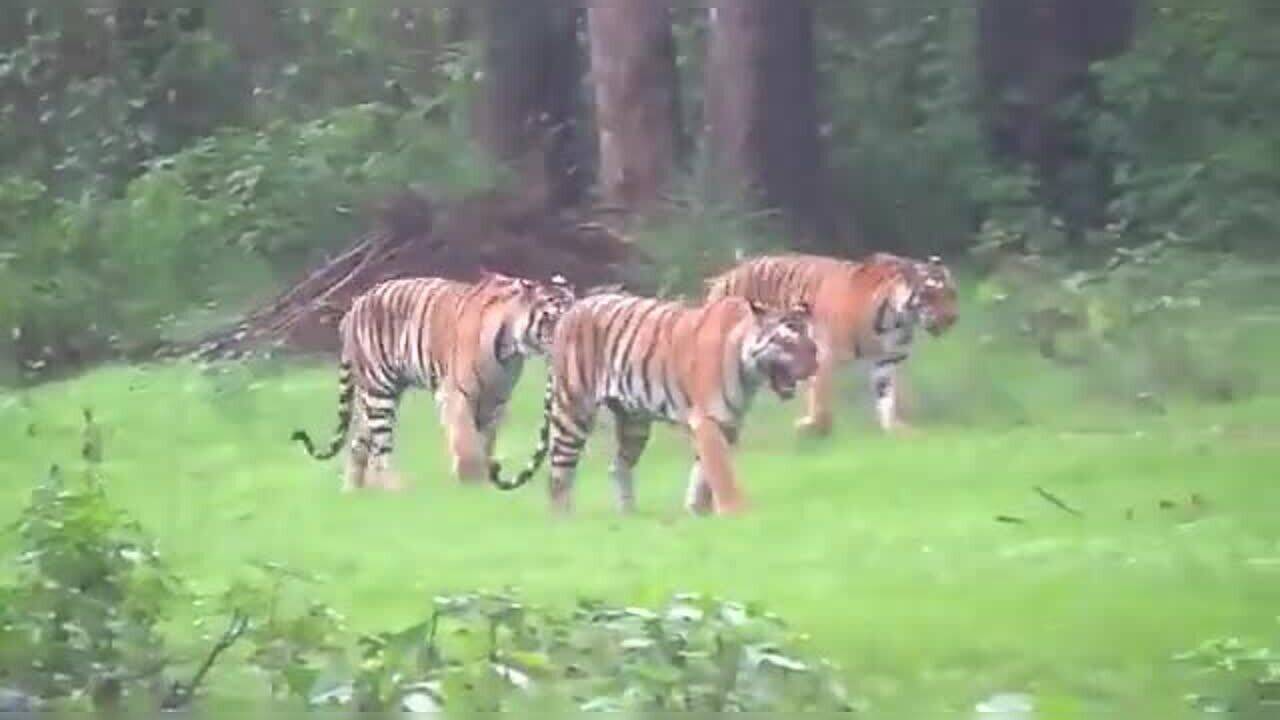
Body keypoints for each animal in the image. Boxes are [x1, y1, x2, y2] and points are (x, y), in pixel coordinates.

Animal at [291, 271, 575, 492]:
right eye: (551, 317)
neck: (510, 351)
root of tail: (353, 308)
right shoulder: (456, 395)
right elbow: (466, 442)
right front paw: (471, 486)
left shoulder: (494, 401)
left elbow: (485, 442)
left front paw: (485, 482)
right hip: (380, 391)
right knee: (380, 448)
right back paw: (394, 488)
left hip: (368, 394)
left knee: (358, 442)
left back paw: (354, 491)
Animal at [486, 292, 818, 517]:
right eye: (787, 342)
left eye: (812, 345)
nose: (814, 367)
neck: (749, 370)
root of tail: (570, 311)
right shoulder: (708, 420)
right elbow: (721, 471)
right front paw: (736, 512)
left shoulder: (727, 424)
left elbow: (704, 474)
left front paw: (698, 513)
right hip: (574, 410)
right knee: (559, 473)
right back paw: (564, 522)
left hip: (634, 422)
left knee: (617, 466)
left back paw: (629, 517)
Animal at [704, 252, 958, 436]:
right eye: (929, 294)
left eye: (952, 293)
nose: (953, 318)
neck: (896, 321)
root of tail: (725, 276)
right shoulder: (823, 356)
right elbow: (822, 408)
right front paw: (811, 429)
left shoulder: (886, 361)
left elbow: (887, 399)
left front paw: (898, 431)